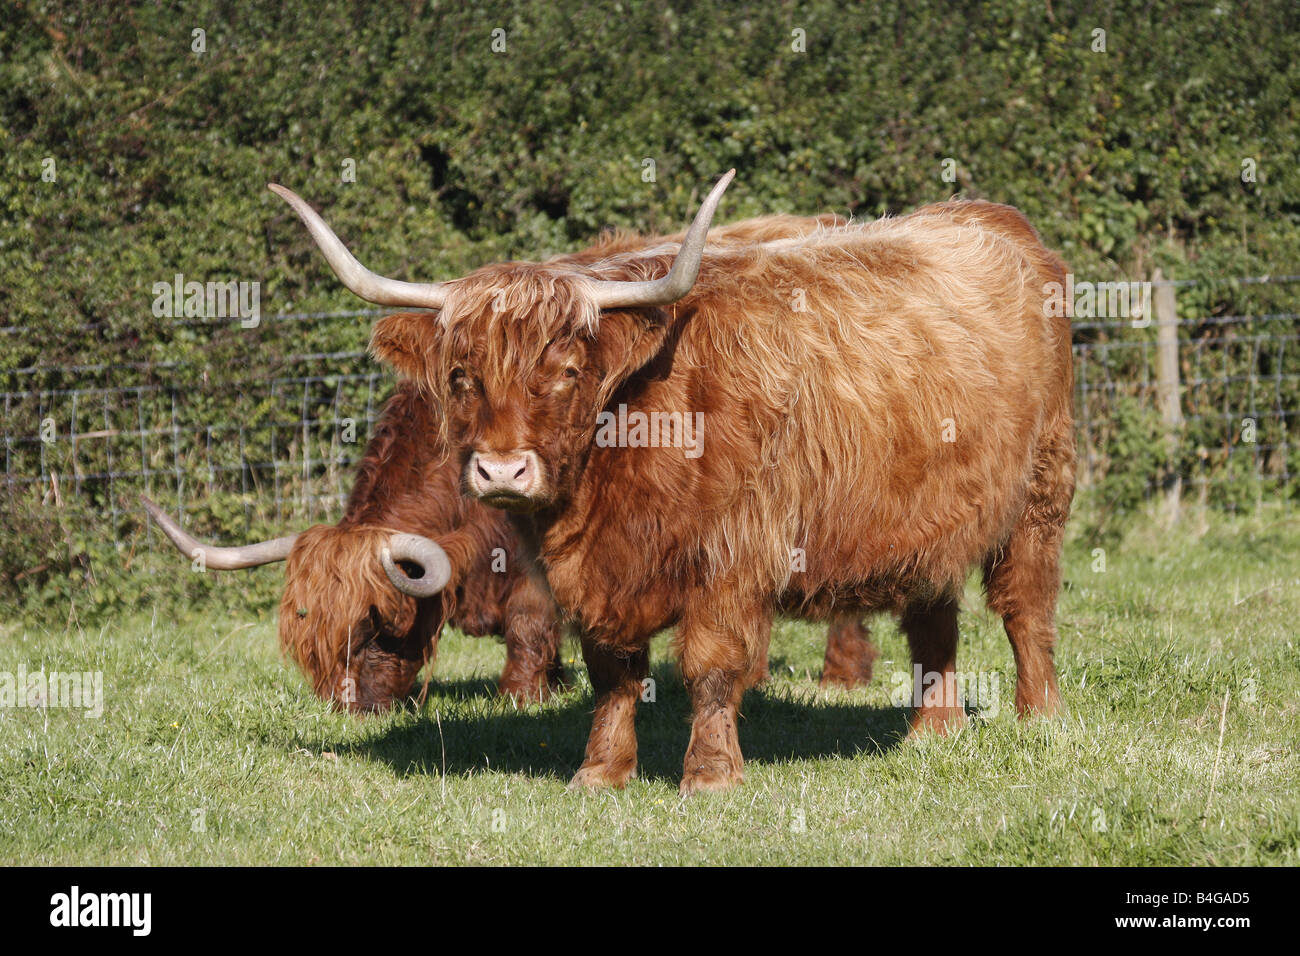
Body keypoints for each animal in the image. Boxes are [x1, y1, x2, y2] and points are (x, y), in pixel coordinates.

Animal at [143, 209, 878, 714]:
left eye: (380, 624)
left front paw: (523, 693)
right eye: (308, 633)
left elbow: (531, 623)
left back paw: (841, 675)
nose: (349, 709)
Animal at [268, 172, 1075, 793]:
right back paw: (931, 731)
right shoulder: (588, 571)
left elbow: (711, 665)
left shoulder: (734, 552)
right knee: (934, 616)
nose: (501, 470)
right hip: (931, 514)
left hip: (1041, 490)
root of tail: (985, 215)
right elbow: (612, 671)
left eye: (568, 372)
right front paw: (600, 773)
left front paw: (711, 775)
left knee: (1025, 607)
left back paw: (1040, 717)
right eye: (462, 376)